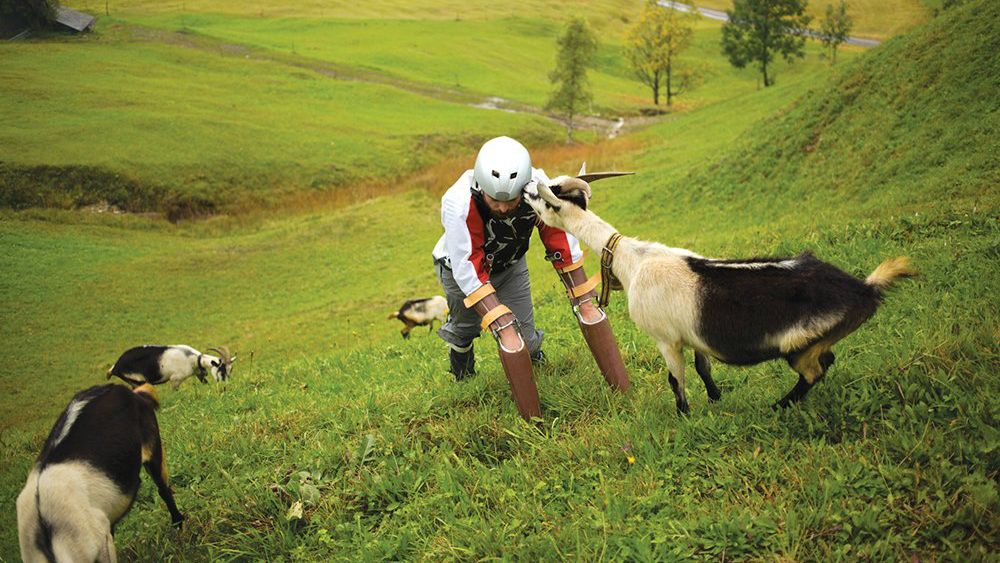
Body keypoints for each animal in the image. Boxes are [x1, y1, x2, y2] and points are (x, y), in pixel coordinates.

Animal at [524, 176, 915, 412]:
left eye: (546, 196)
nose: (526, 188)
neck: (632, 261)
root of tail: (863, 289)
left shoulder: (666, 338)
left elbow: (676, 378)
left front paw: (683, 414)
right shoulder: (692, 334)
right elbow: (703, 367)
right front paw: (715, 398)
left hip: (798, 345)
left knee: (814, 370)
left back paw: (780, 405)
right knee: (826, 361)